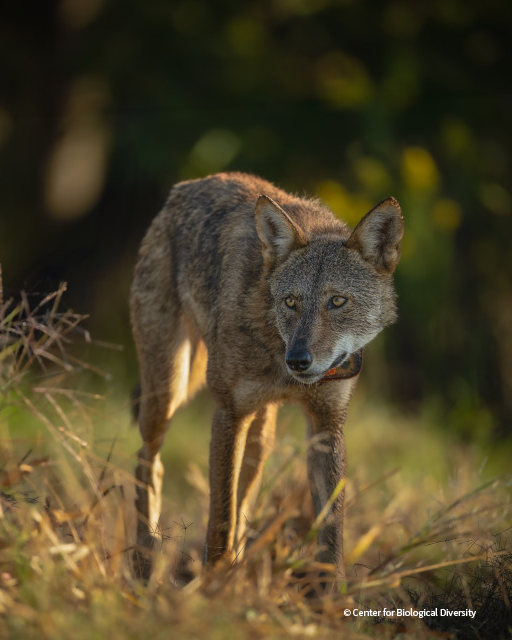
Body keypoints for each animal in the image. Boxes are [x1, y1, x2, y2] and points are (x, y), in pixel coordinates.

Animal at [130, 172, 403, 583]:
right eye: (291, 302)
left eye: (337, 302)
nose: (298, 361)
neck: (276, 345)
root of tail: (188, 185)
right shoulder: (228, 414)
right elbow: (220, 517)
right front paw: (211, 585)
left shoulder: (326, 425)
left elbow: (331, 530)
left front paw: (331, 593)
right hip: (169, 393)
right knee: (148, 462)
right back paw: (147, 561)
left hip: (261, 437)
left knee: (245, 498)